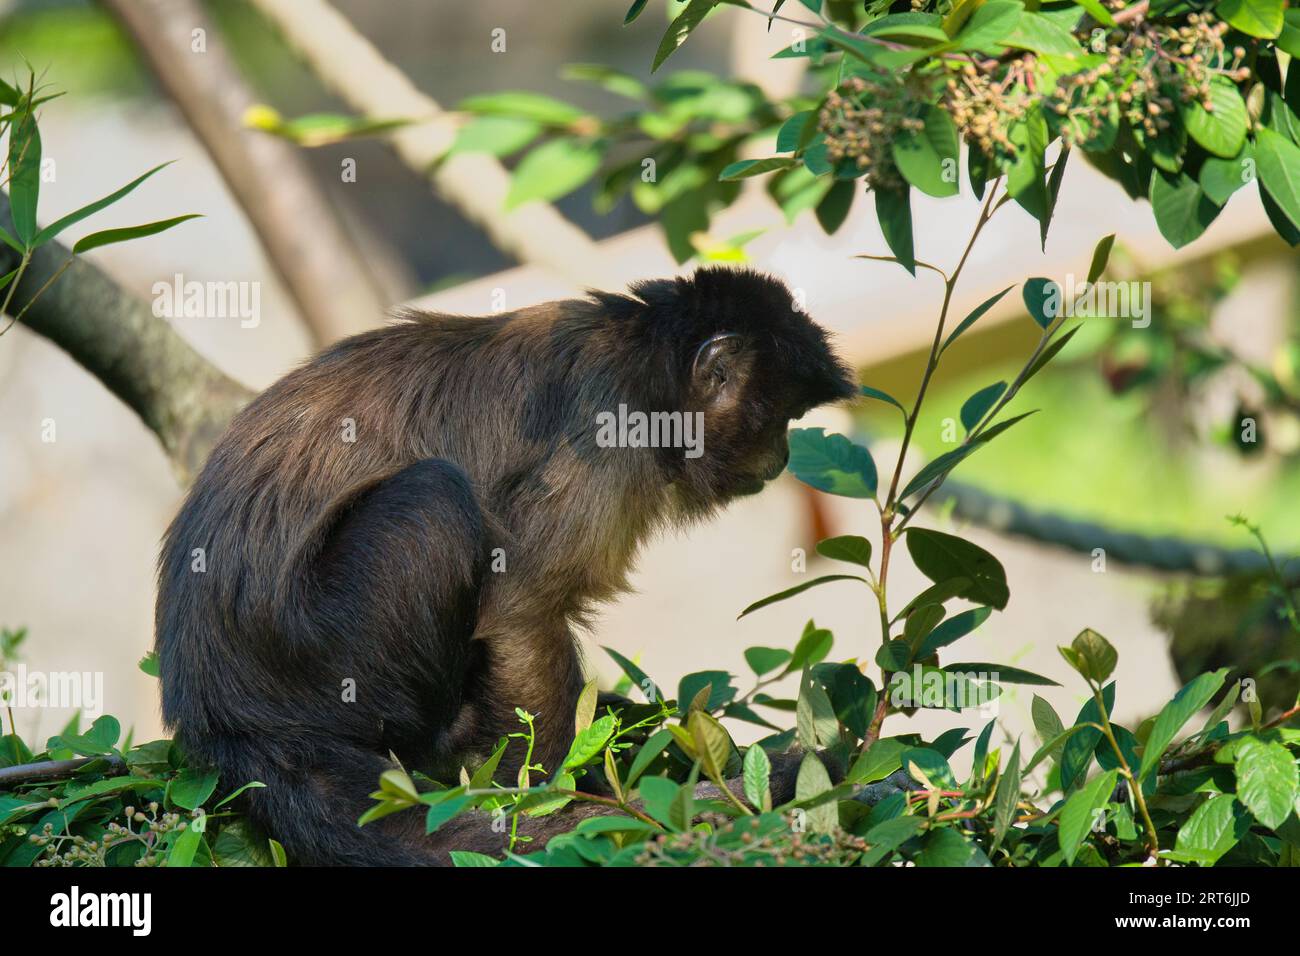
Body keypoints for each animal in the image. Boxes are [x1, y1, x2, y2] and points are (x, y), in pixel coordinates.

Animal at [155, 266, 856, 865]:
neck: (640, 364)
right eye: (780, 418)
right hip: (322, 647)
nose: (784, 454)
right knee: (434, 497)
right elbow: (521, 612)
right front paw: (568, 799)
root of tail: (225, 714)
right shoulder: (606, 434)